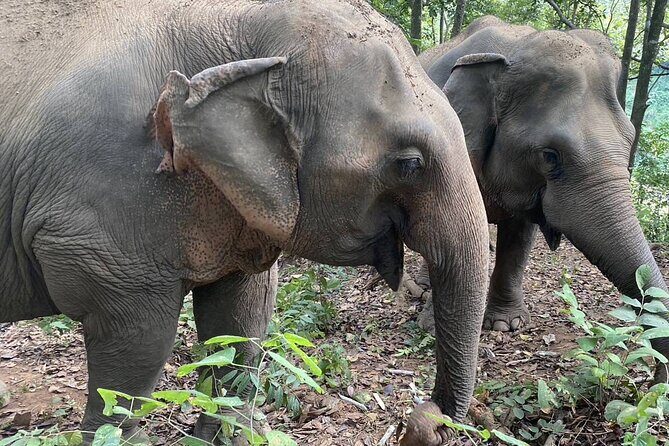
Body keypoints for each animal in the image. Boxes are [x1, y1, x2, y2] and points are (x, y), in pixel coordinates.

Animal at [0, 0, 489, 442]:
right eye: (409, 164)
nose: (425, 417)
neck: (235, 20)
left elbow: (242, 316)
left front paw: (228, 434)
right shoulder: (107, 208)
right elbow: (136, 343)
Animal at [418, 16, 669, 382]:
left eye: (631, 138)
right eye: (550, 156)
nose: (655, 377)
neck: (514, 50)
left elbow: (519, 237)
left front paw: (507, 324)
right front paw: (432, 326)